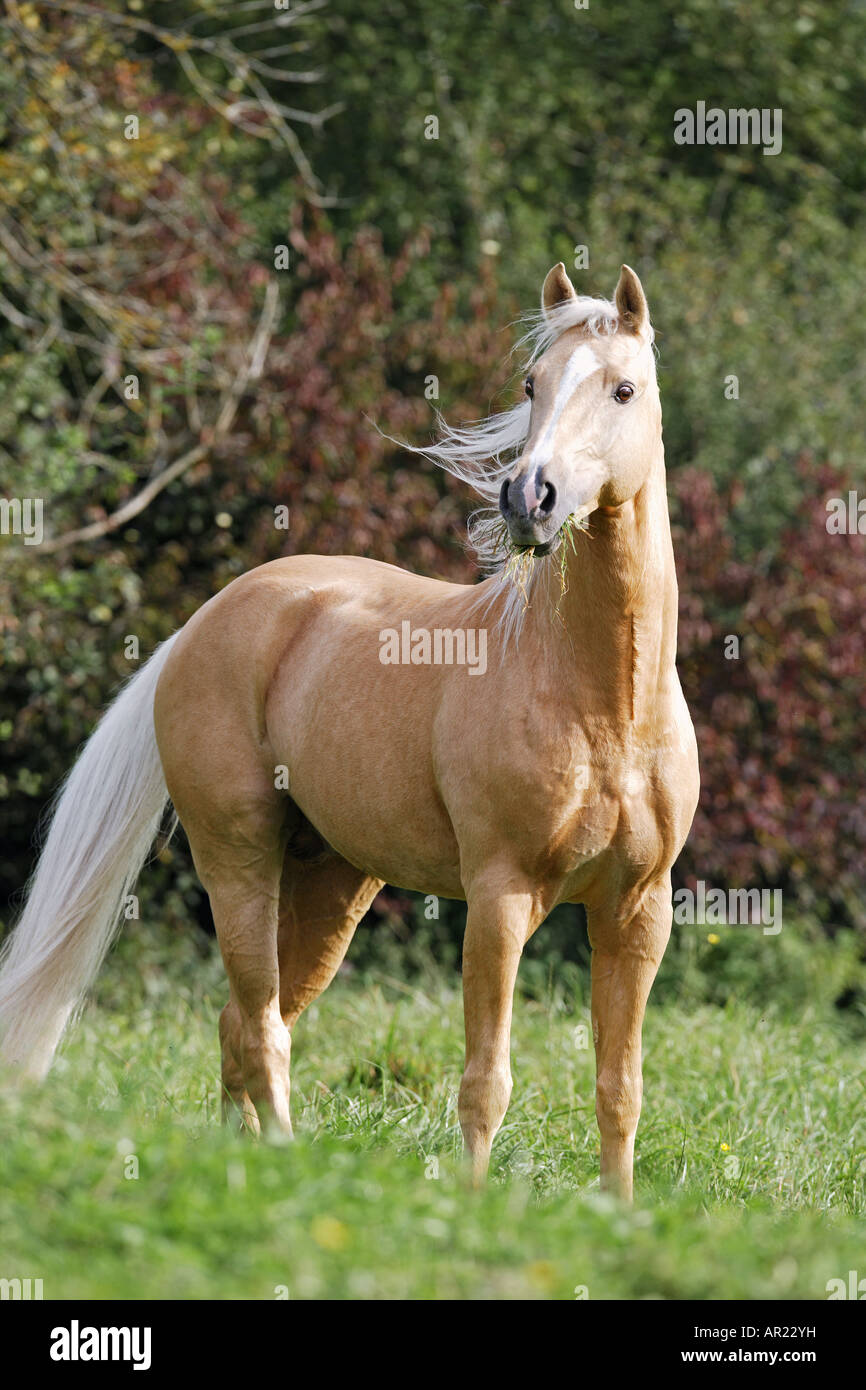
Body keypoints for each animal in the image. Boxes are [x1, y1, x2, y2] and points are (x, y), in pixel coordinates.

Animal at [0, 262, 699, 1199]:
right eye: (533, 384)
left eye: (623, 389)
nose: (529, 498)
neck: (604, 703)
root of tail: (205, 624)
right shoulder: (500, 898)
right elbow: (486, 1081)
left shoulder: (636, 911)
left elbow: (619, 1089)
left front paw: (619, 1213)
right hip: (238, 861)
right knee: (262, 1027)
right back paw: (283, 1164)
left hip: (334, 884)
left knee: (241, 1022)